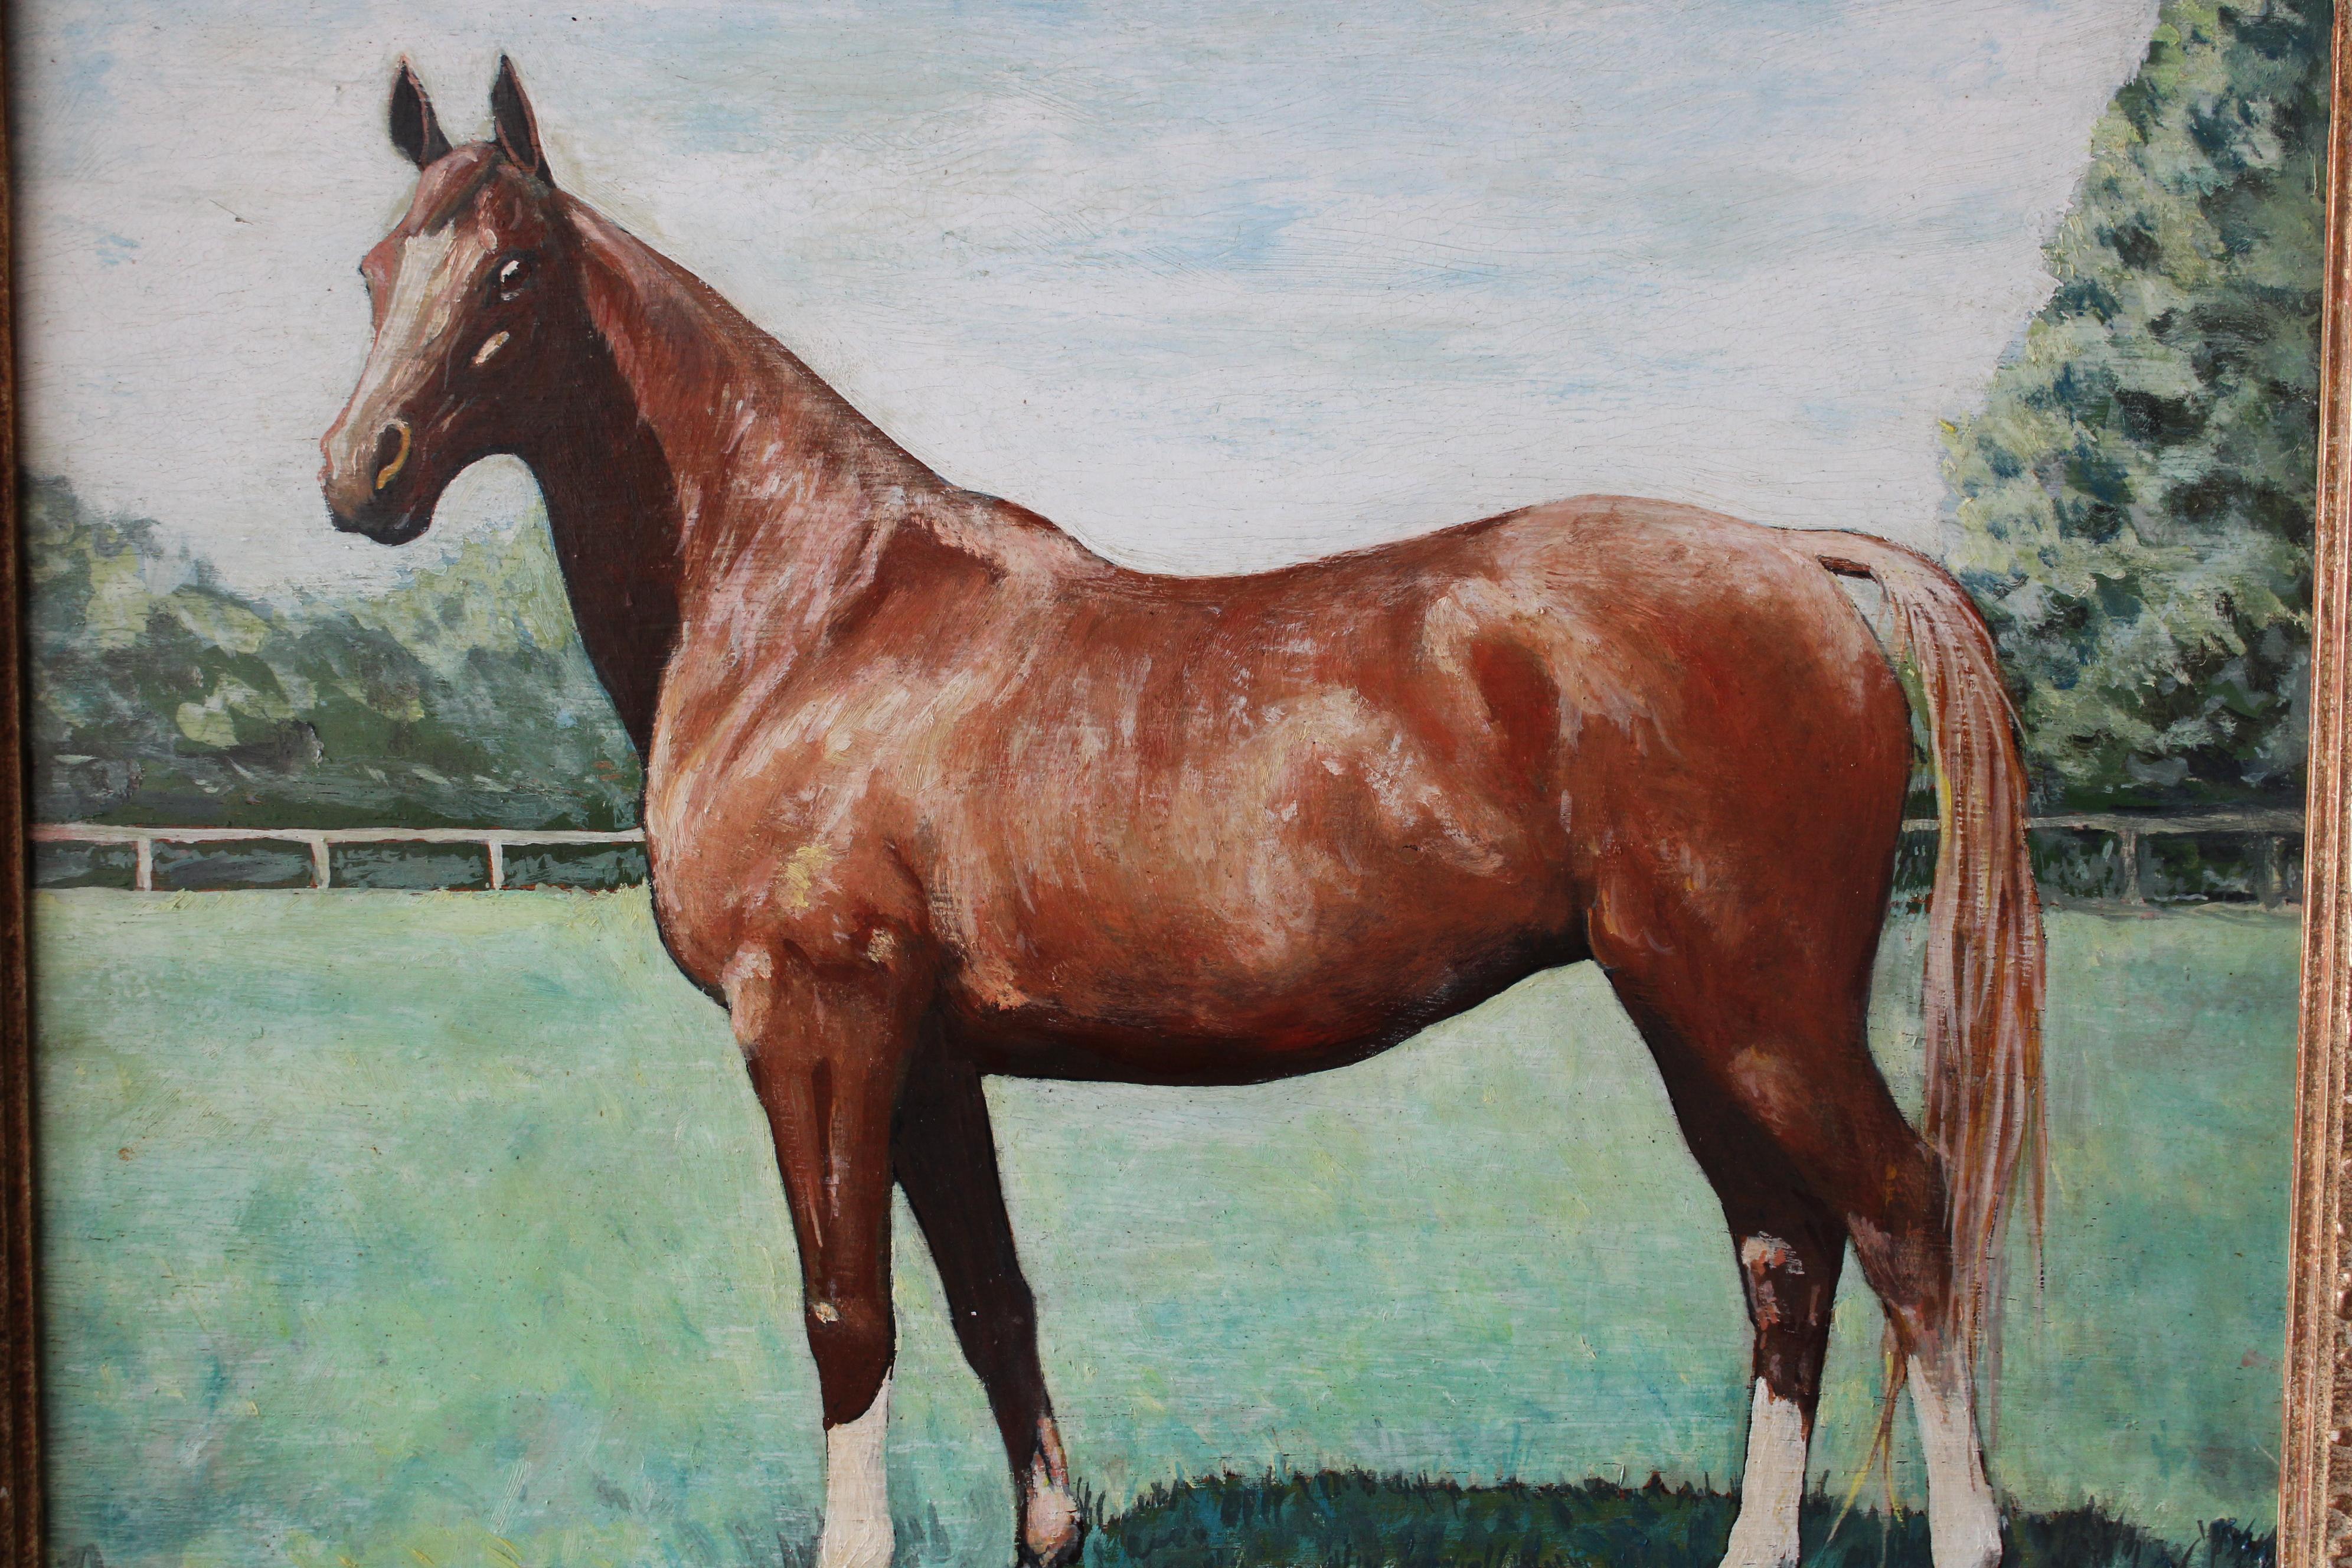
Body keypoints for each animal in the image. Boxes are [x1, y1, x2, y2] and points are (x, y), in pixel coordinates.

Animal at [319, 60, 2044, 1568]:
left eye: (516, 272)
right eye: (376, 266)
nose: (359, 473)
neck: (815, 618)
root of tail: (1796, 558)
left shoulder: (816, 1021)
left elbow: (847, 1315)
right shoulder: (929, 1054)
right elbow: (990, 1302)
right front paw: (1050, 1531)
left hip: (1756, 1004)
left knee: (1903, 1219)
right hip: (1693, 1012)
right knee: (1786, 1255)